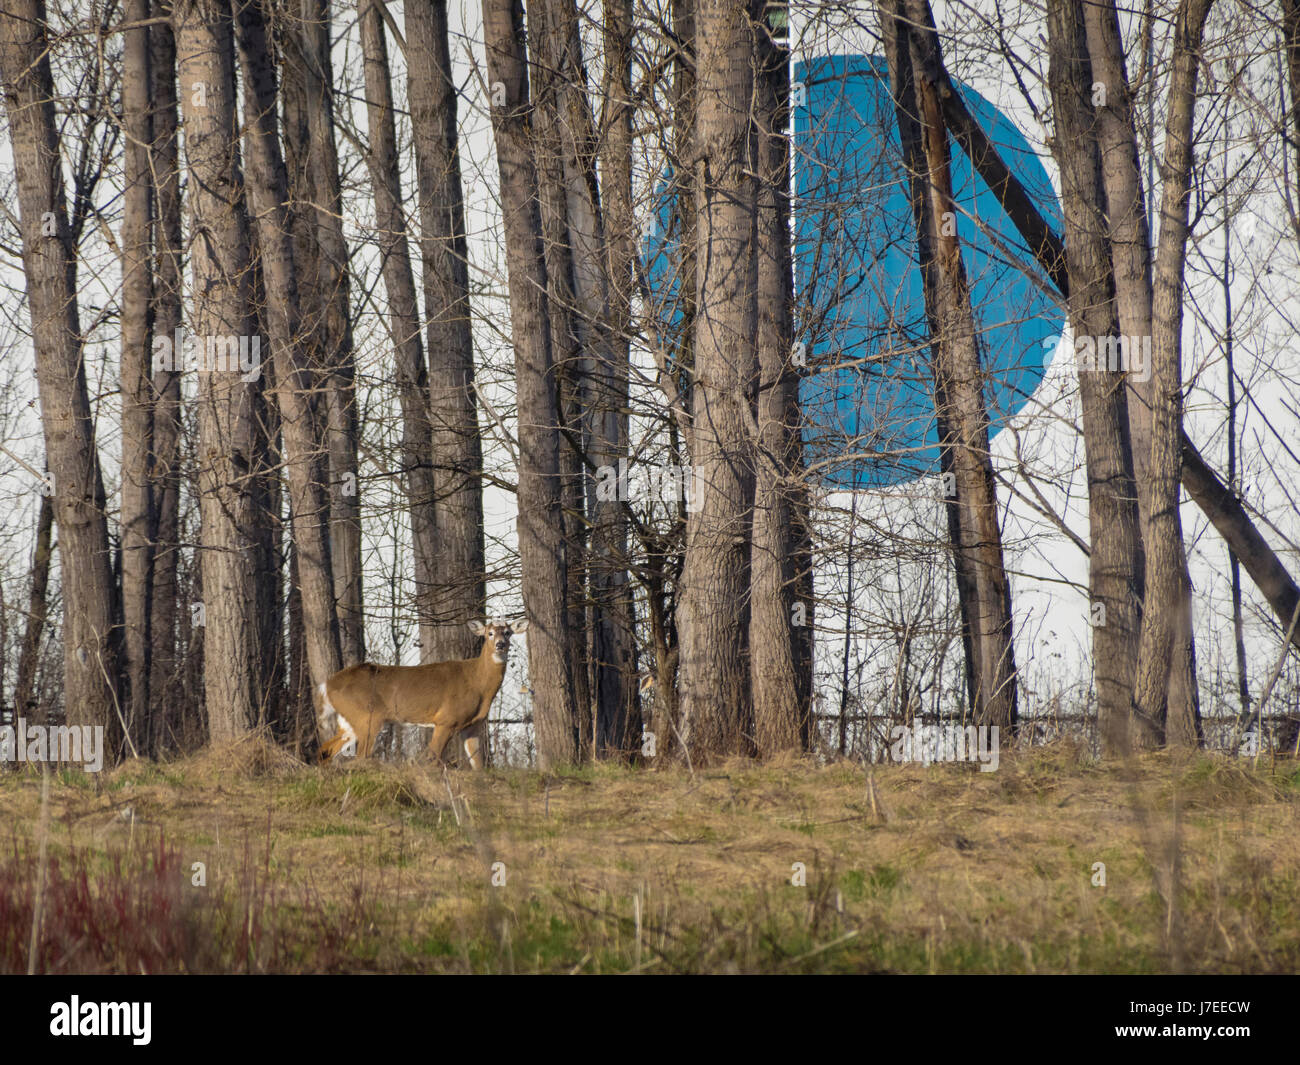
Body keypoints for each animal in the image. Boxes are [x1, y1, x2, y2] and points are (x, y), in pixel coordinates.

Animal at [315, 618, 529, 768]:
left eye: (508, 632)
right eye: (489, 633)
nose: (500, 644)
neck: (478, 683)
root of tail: (326, 685)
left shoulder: (473, 725)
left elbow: (478, 765)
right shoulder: (446, 719)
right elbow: (433, 757)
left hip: (349, 720)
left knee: (325, 750)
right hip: (367, 716)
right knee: (360, 756)